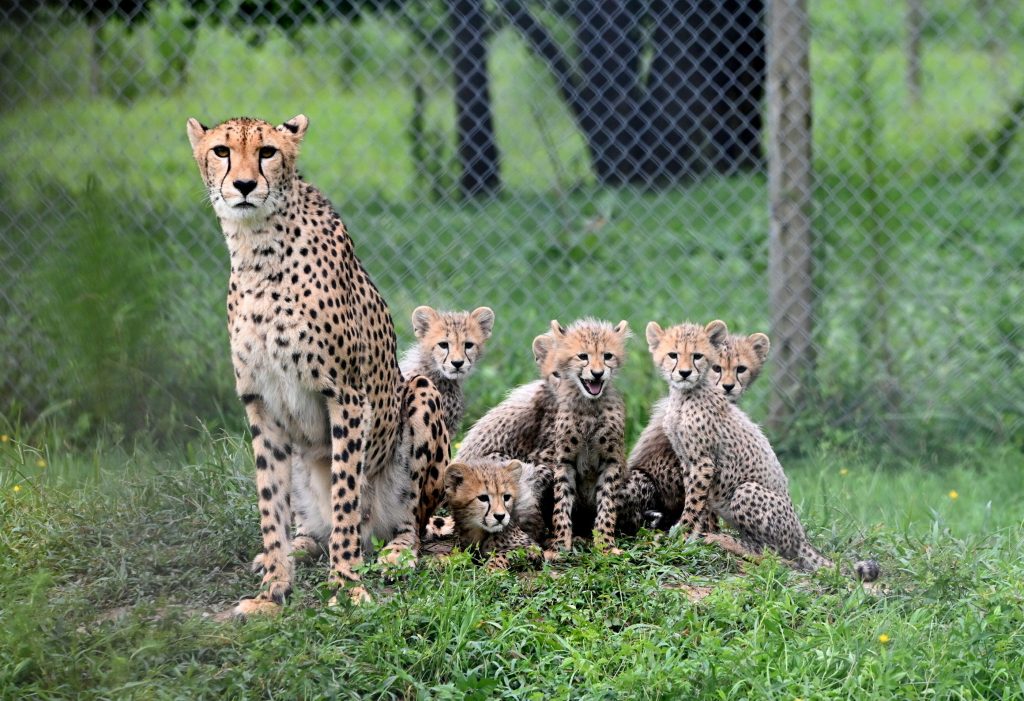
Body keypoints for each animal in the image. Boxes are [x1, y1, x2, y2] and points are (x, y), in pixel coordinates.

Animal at [187, 114, 449, 615]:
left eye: (268, 151)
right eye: (221, 151)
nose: (244, 185)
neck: (257, 248)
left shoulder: (346, 397)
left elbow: (346, 495)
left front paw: (346, 585)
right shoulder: (261, 404)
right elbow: (270, 504)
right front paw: (273, 590)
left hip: (421, 397)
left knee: (410, 522)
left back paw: (394, 553)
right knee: (309, 524)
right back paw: (300, 545)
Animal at [645, 319, 879, 580]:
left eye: (697, 356)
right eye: (673, 355)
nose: (684, 373)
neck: (685, 395)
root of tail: (801, 537)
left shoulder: (703, 462)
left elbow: (694, 503)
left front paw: (683, 534)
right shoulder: (689, 462)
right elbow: (700, 505)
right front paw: (695, 532)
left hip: (746, 491)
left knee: (772, 555)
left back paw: (725, 541)